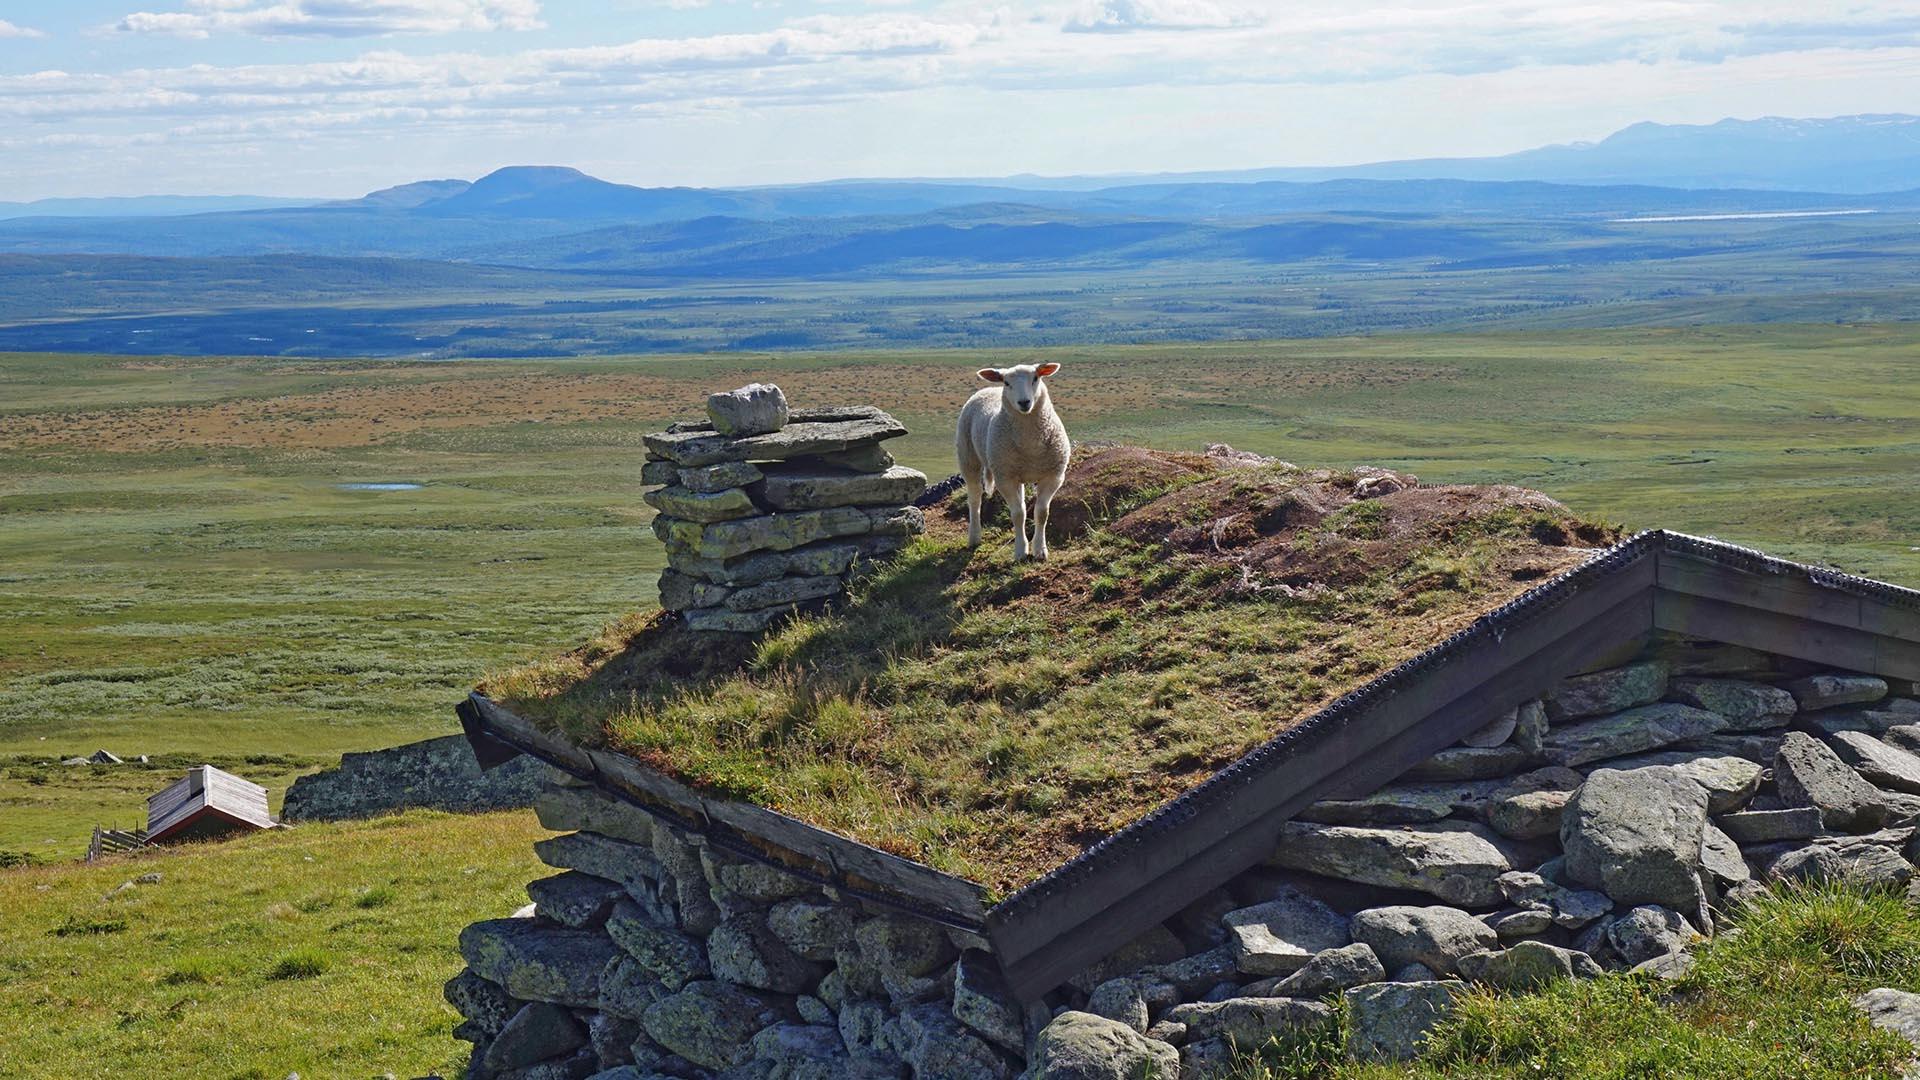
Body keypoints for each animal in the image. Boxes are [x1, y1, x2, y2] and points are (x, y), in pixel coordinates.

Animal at [956, 365, 1075, 557]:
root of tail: (989, 388)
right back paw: (974, 537)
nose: (1024, 402)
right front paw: (1020, 551)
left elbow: (1041, 513)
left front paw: (1040, 550)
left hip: (1016, 471)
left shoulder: (1054, 476)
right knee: (974, 498)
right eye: (1006, 382)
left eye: (1035, 378)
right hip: (968, 457)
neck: (1030, 446)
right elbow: (1017, 514)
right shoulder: (1005, 479)